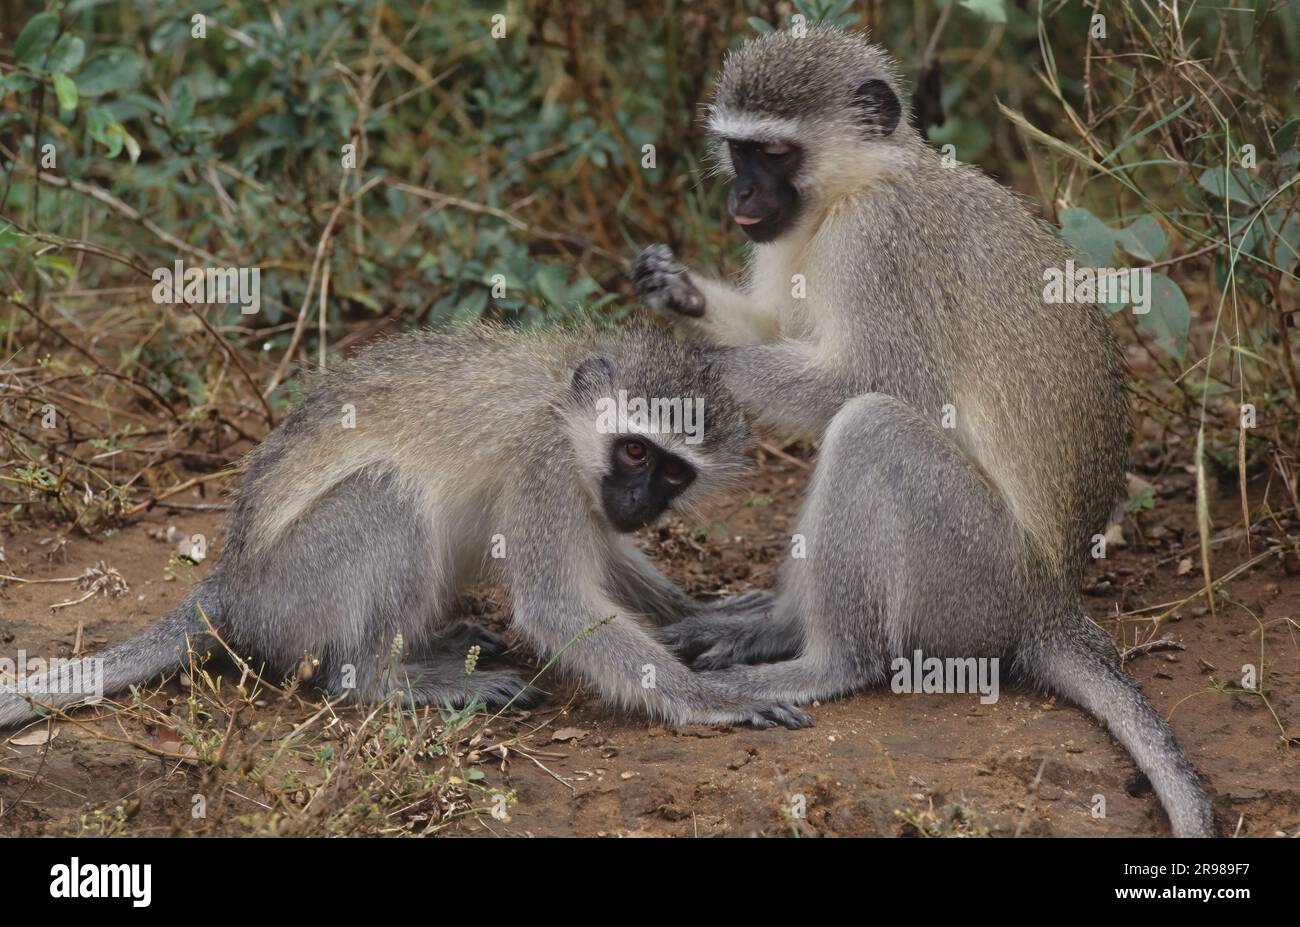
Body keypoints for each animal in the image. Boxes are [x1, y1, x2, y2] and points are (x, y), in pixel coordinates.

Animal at [0, 322, 811, 731]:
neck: (566, 402)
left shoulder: (583, 492)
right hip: (294, 591)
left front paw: (711, 616)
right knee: (386, 500)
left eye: (673, 472)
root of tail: (229, 587)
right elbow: (557, 602)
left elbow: (604, 556)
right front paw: (713, 702)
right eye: (636, 449)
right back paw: (388, 680)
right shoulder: (547, 463)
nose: (639, 501)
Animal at [632, 27, 1216, 837]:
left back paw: (822, 663)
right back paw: (775, 625)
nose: (740, 195)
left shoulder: (877, 246)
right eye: (738, 151)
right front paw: (677, 293)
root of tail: (1051, 608)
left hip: (975, 575)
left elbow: (883, 381)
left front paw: (695, 360)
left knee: (873, 428)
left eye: (774, 153)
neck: (858, 184)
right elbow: (781, 328)